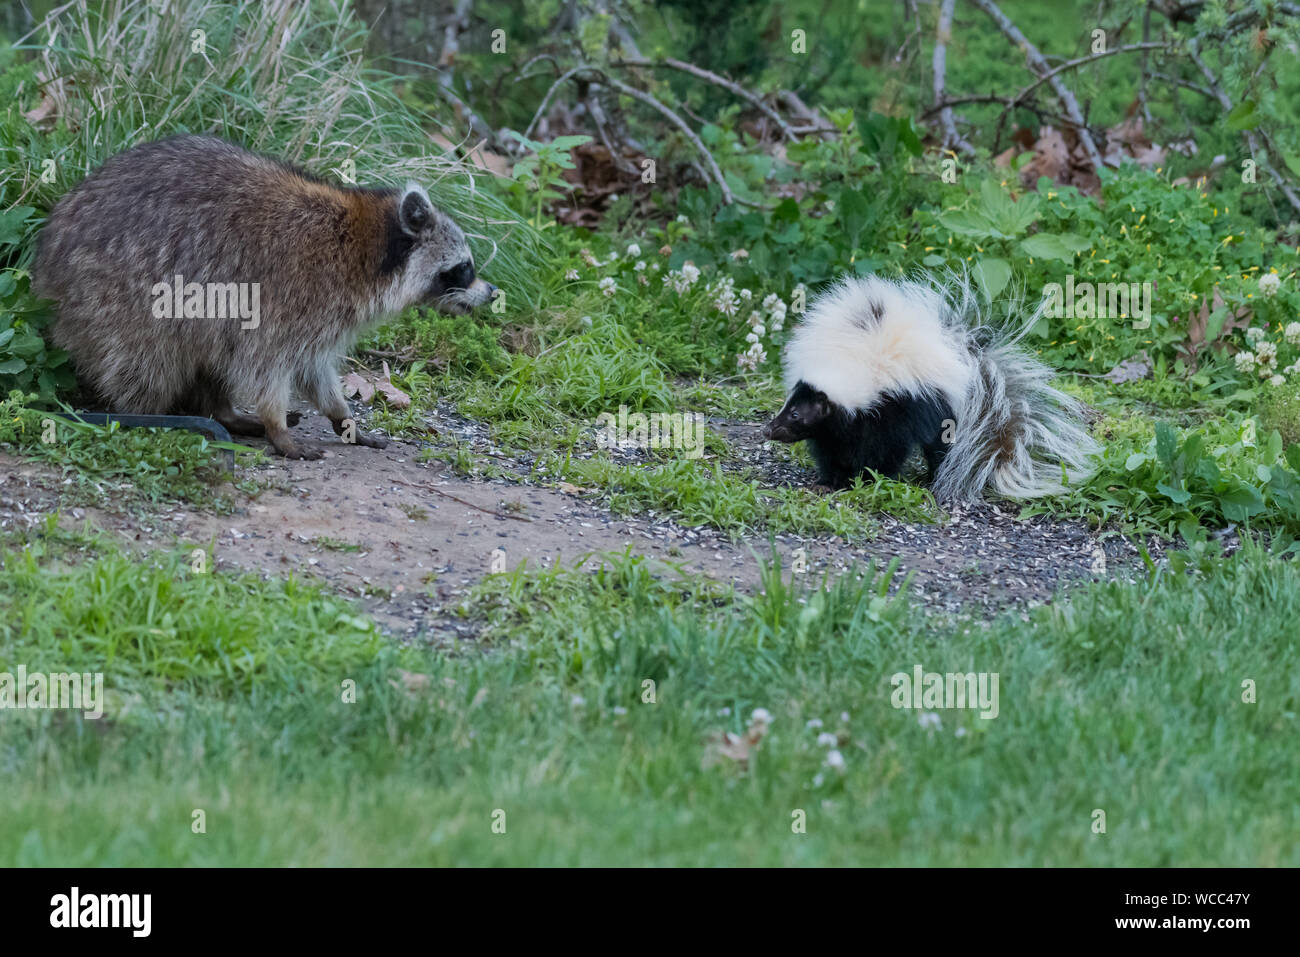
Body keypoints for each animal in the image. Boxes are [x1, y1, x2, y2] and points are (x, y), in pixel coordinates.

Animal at [34, 134, 496, 460]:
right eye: (464, 269)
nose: (492, 293)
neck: (363, 247)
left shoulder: (321, 315)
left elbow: (312, 368)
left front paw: (341, 417)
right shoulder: (288, 294)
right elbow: (265, 364)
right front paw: (277, 428)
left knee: (207, 354)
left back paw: (225, 414)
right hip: (113, 297)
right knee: (147, 360)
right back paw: (153, 414)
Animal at [759, 273, 1097, 501]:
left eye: (796, 415)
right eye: (787, 407)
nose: (768, 429)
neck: (854, 367)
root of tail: (951, 345)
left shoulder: (895, 406)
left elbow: (886, 448)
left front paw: (871, 477)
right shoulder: (837, 425)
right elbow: (830, 448)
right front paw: (831, 480)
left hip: (940, 405)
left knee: (941, 444)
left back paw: (934, 476)